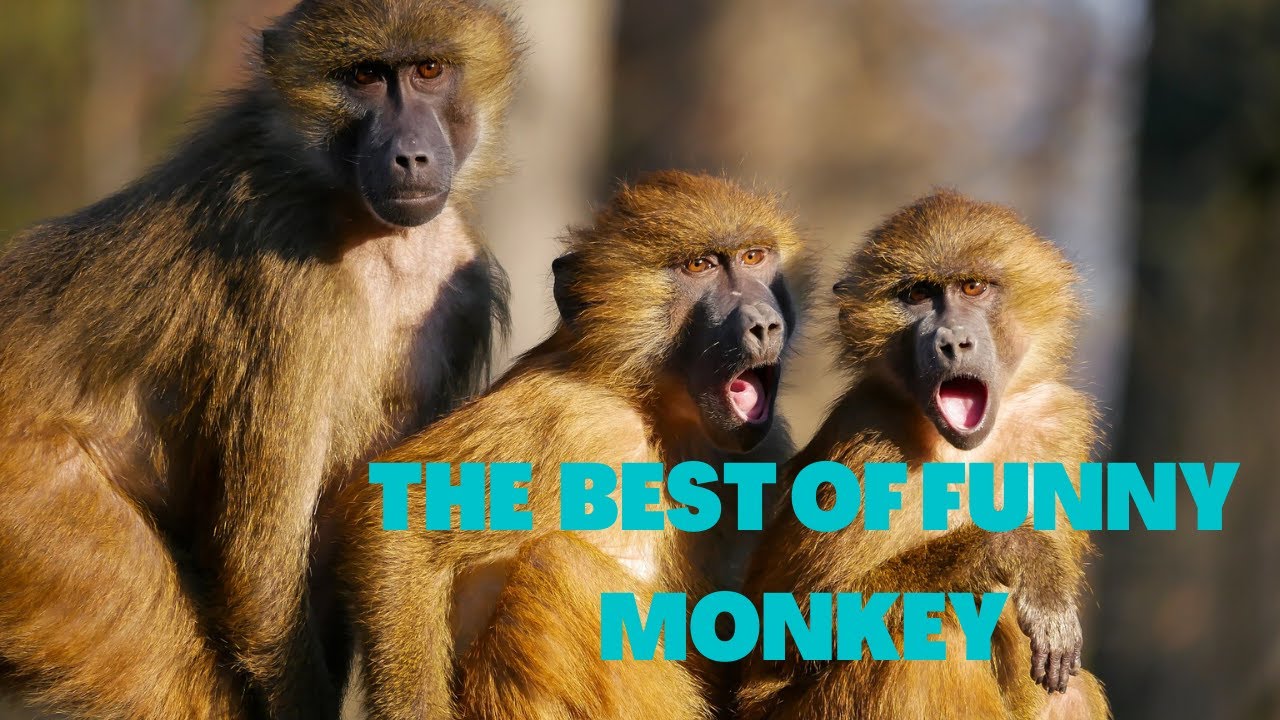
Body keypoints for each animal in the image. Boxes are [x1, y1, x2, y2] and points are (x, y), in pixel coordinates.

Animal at [0, 2, 521, 718]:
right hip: (34, 510)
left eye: (429, 70)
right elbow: (261, 565)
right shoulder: (287, 282)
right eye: (364, 77)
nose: (409, 155)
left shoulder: (461, 295)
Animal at [337, 170, 813, 720]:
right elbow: (399, 521)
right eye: (700, 266)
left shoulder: (766, 444)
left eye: (754, 257)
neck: (655, 409)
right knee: (557, 568)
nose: (764, 323)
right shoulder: (572, 417)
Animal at [734, 191, 1110, 720]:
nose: (952, 341)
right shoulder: (867, 440)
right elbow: (791, 622)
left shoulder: (1056, 426)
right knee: (927, 642)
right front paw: (1014, 552)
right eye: (916, 295)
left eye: (973, 287)